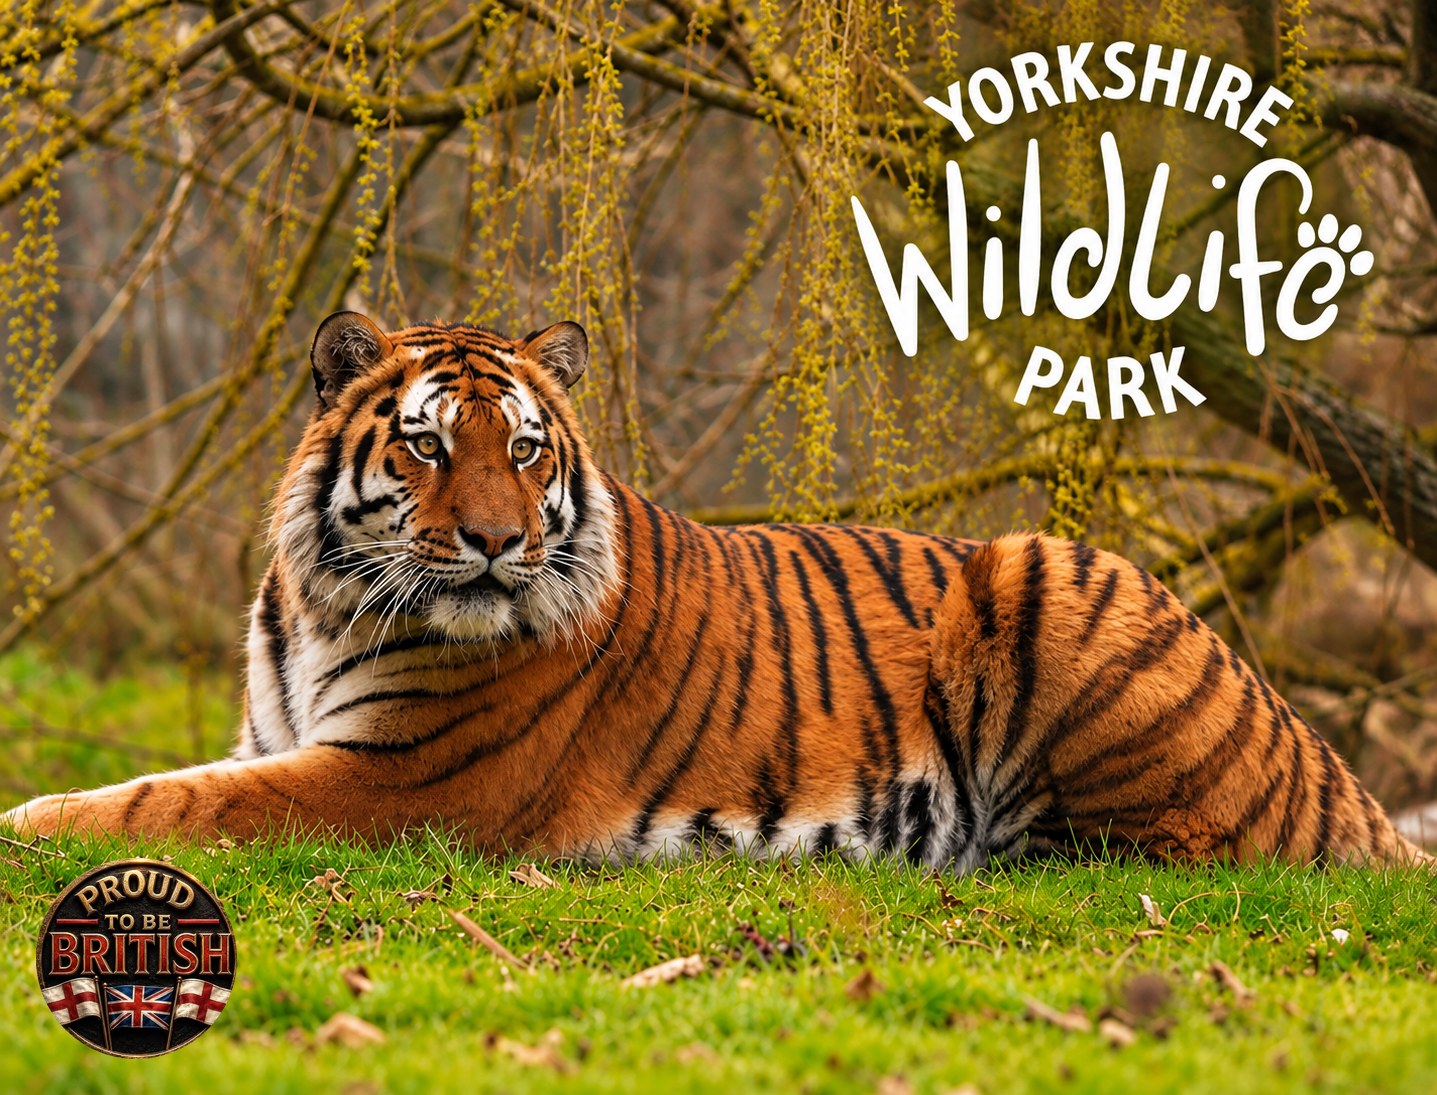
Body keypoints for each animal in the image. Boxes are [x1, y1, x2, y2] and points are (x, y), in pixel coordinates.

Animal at [4, 311, 1429, 870]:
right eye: (427, 446)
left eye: (525, 449)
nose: (495, 543)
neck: (322, 602)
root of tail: (1332, 768)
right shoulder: (289, 740)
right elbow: (180, 782)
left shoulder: (393, 780)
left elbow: (169, 800)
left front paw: (31, 820)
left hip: (1044, 566)